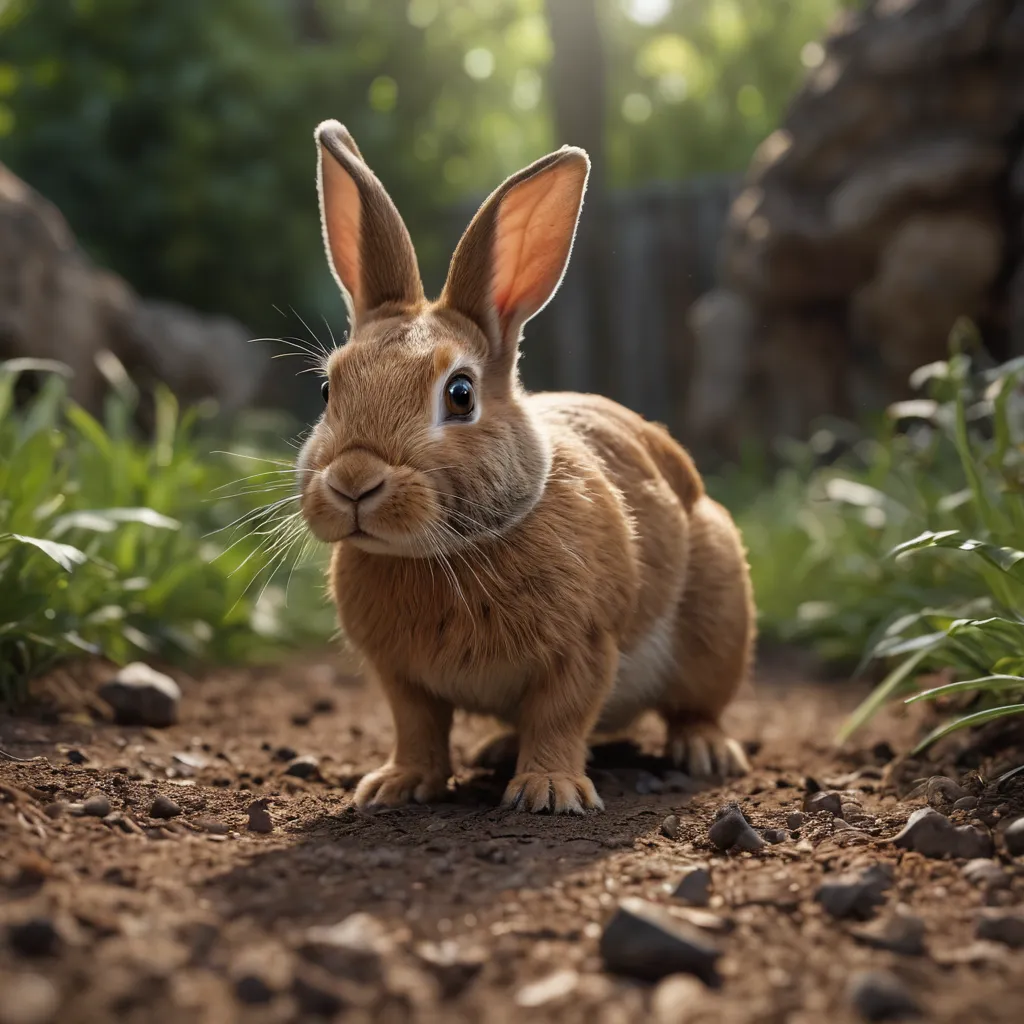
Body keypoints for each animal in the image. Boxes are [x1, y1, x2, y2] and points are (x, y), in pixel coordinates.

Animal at [297, 120, 755, 814]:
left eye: (460, 394)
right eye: (328, 391)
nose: (352, 481)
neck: (444, 553)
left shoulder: (583, 649)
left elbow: (560, 716)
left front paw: (548, 791)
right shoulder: (400, 678)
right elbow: (417, 727)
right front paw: (396, 785)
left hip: (717, 622)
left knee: (695, 706)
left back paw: (704, 751)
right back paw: (493, 752)